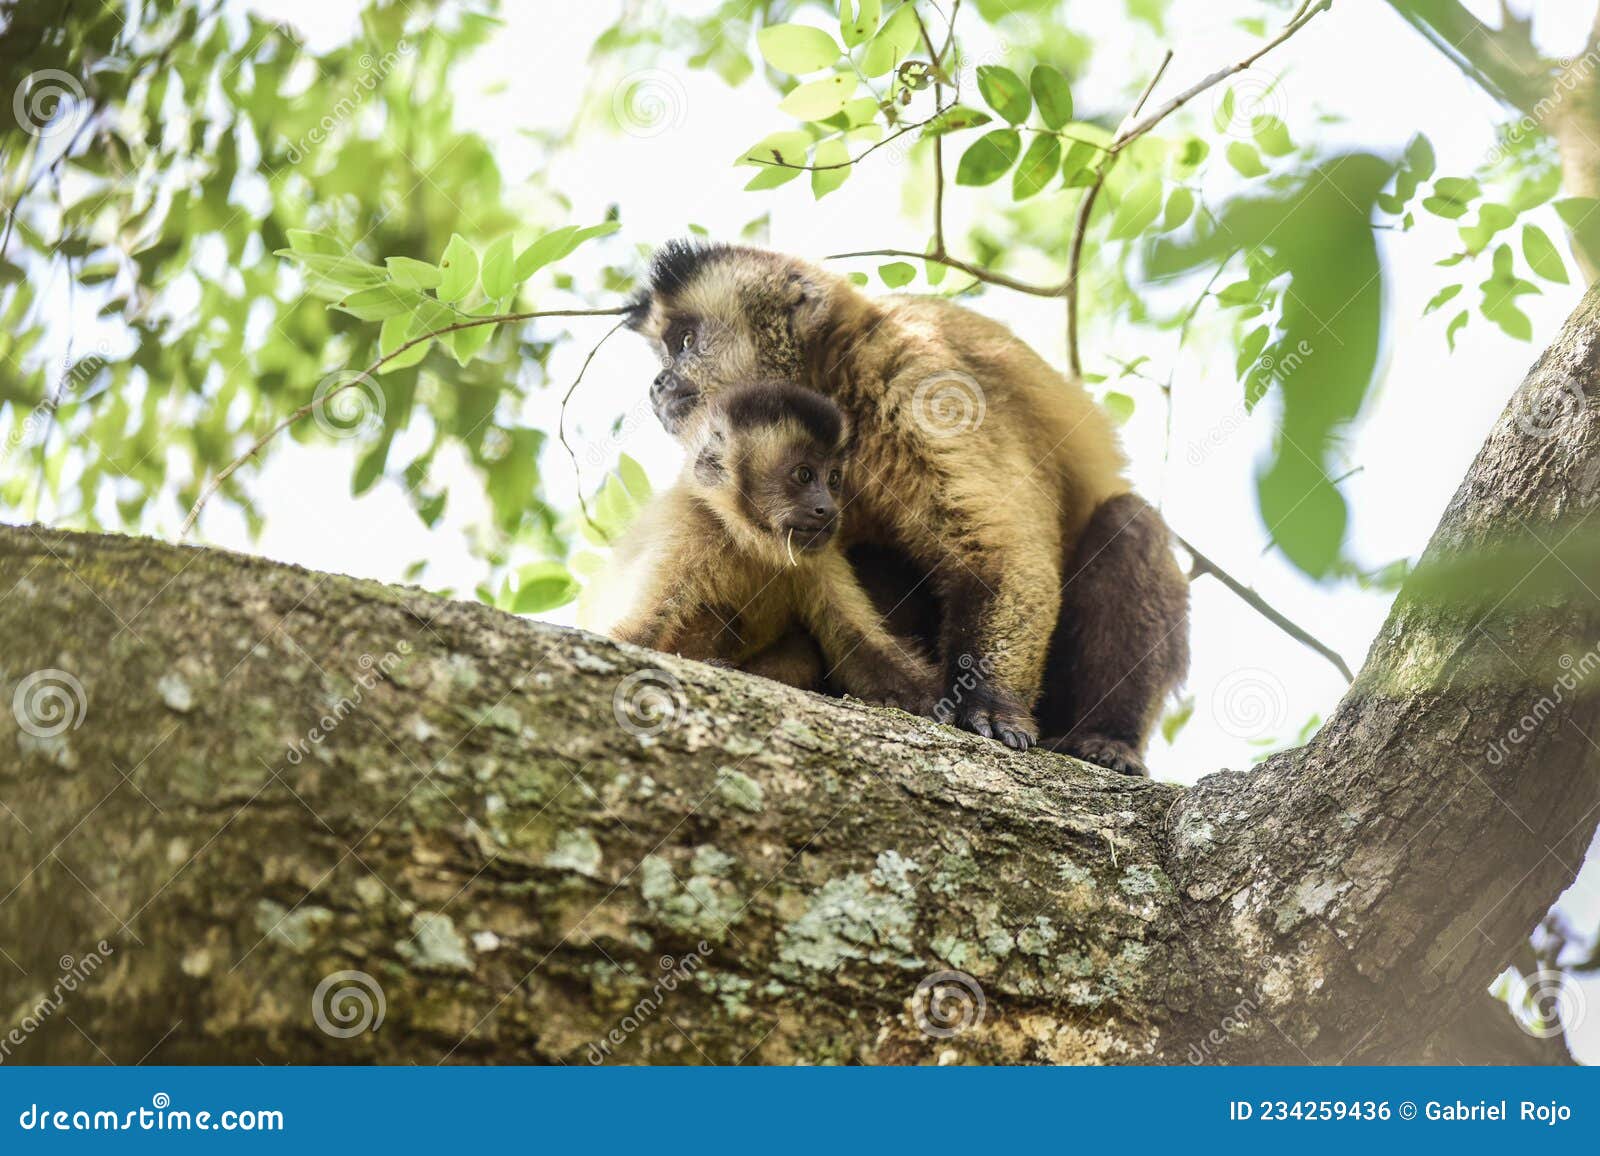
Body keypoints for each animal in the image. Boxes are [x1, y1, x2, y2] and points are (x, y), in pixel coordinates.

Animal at [600, 379, 941, 716]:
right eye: (804, 475)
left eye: (833, 479)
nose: (828, 509)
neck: (747, 540)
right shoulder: (688, 530)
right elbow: (641, 632)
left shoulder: (819, 555)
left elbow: (855, 638)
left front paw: (930, 701)